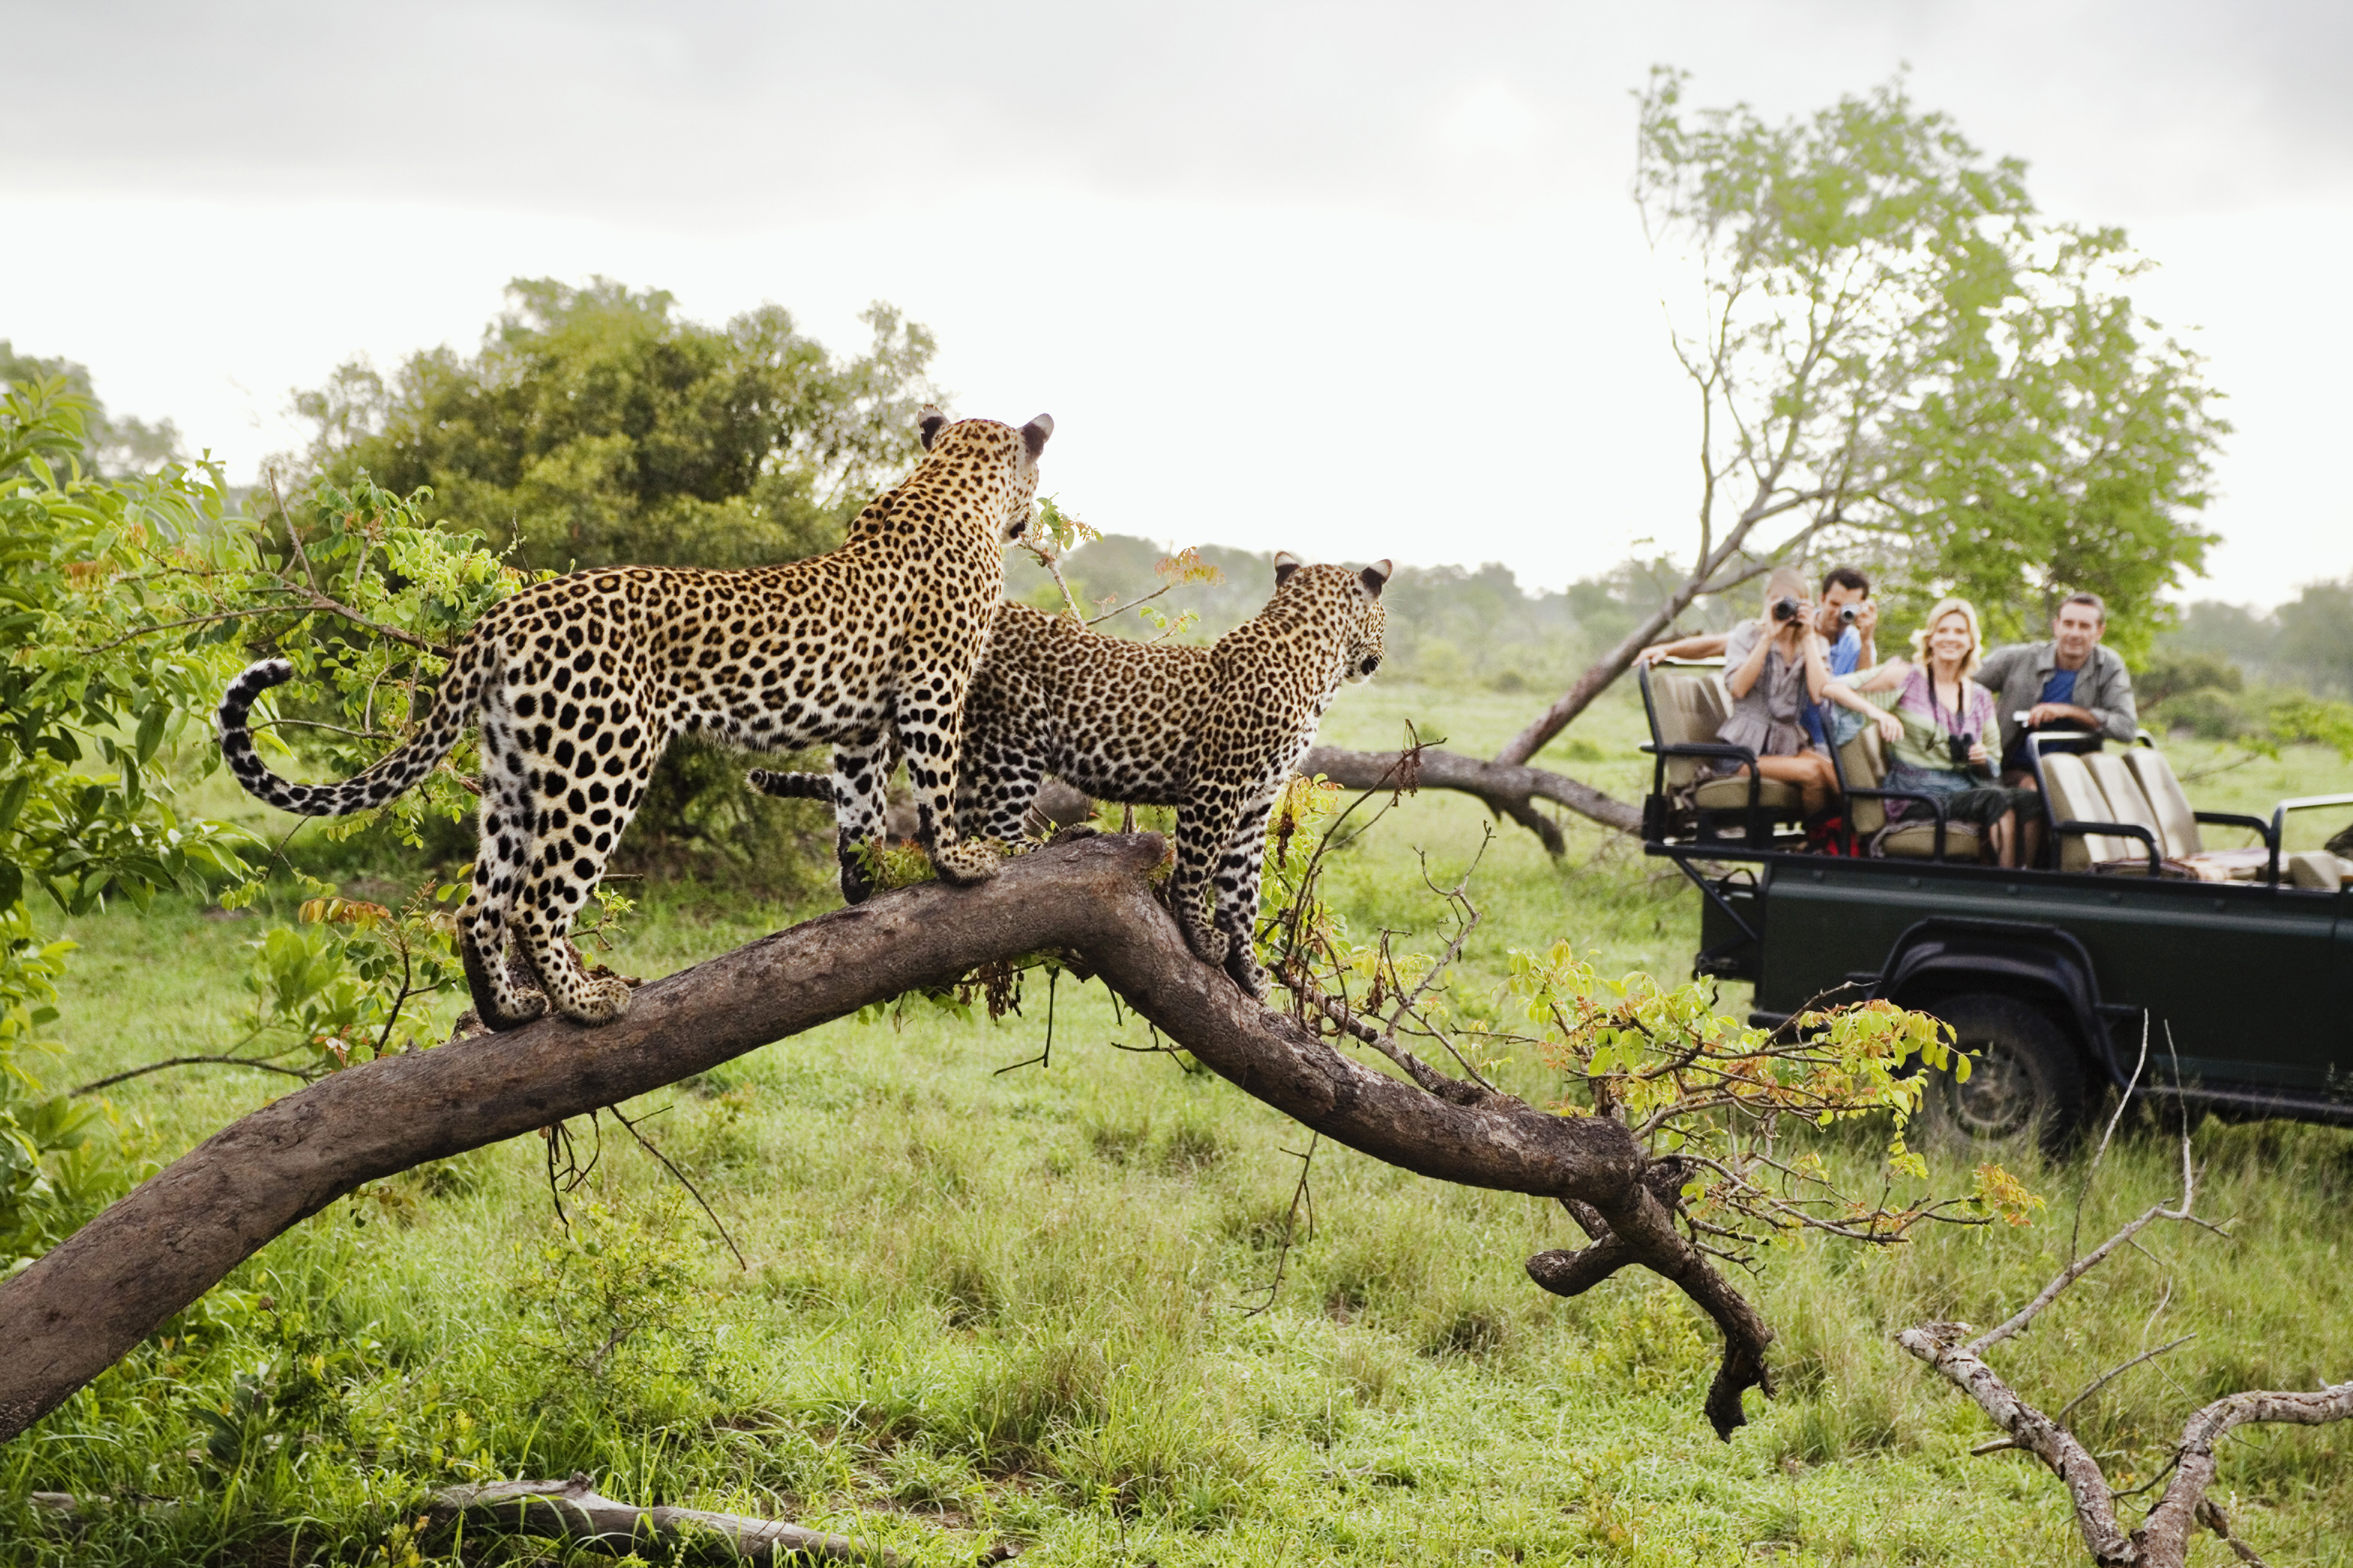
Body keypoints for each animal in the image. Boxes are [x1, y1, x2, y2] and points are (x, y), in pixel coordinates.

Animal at [216, 411, 1054, 1034]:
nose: (1029, 520)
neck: (949, 484)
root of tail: (503, 615)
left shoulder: (859, 723)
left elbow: (860, 802)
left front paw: (864, 880)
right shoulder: (934, 685)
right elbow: (936, 780)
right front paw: (961, 861)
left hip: (516, 773)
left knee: (480, 905)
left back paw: (512, 1010)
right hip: (602, 761)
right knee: (534, 901)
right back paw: (586, 1003)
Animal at [748, 552, 1374, 992]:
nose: (1377, 658)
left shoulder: (1254, 803)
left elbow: (1243, 888)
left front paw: (1247, 969)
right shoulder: (1215, 789)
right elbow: (1198, 869)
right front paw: (1200, 936)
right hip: (1015, 732)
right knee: (992, 832)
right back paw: (1056, 842)